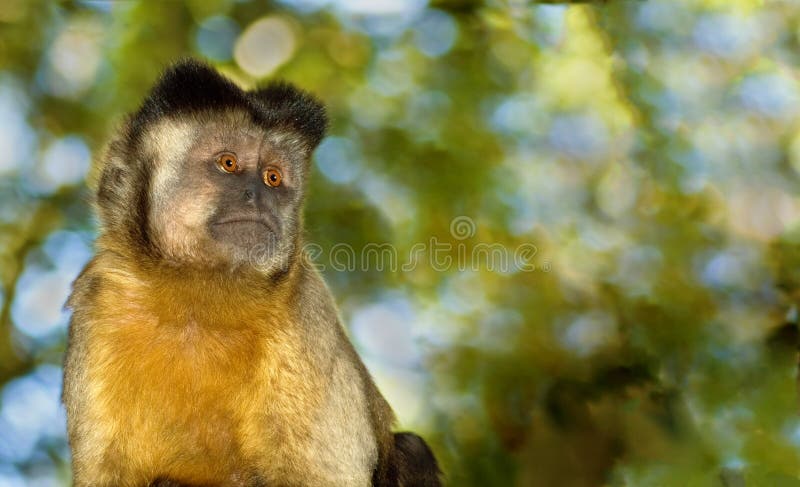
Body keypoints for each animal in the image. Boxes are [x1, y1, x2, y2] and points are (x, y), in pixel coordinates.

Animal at [62, 59, 441, 487]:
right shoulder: (100, 303)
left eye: (272, 177)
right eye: (229, 163)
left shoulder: (306, 309)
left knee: (411, 449)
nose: (258, 196)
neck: (197, 305)